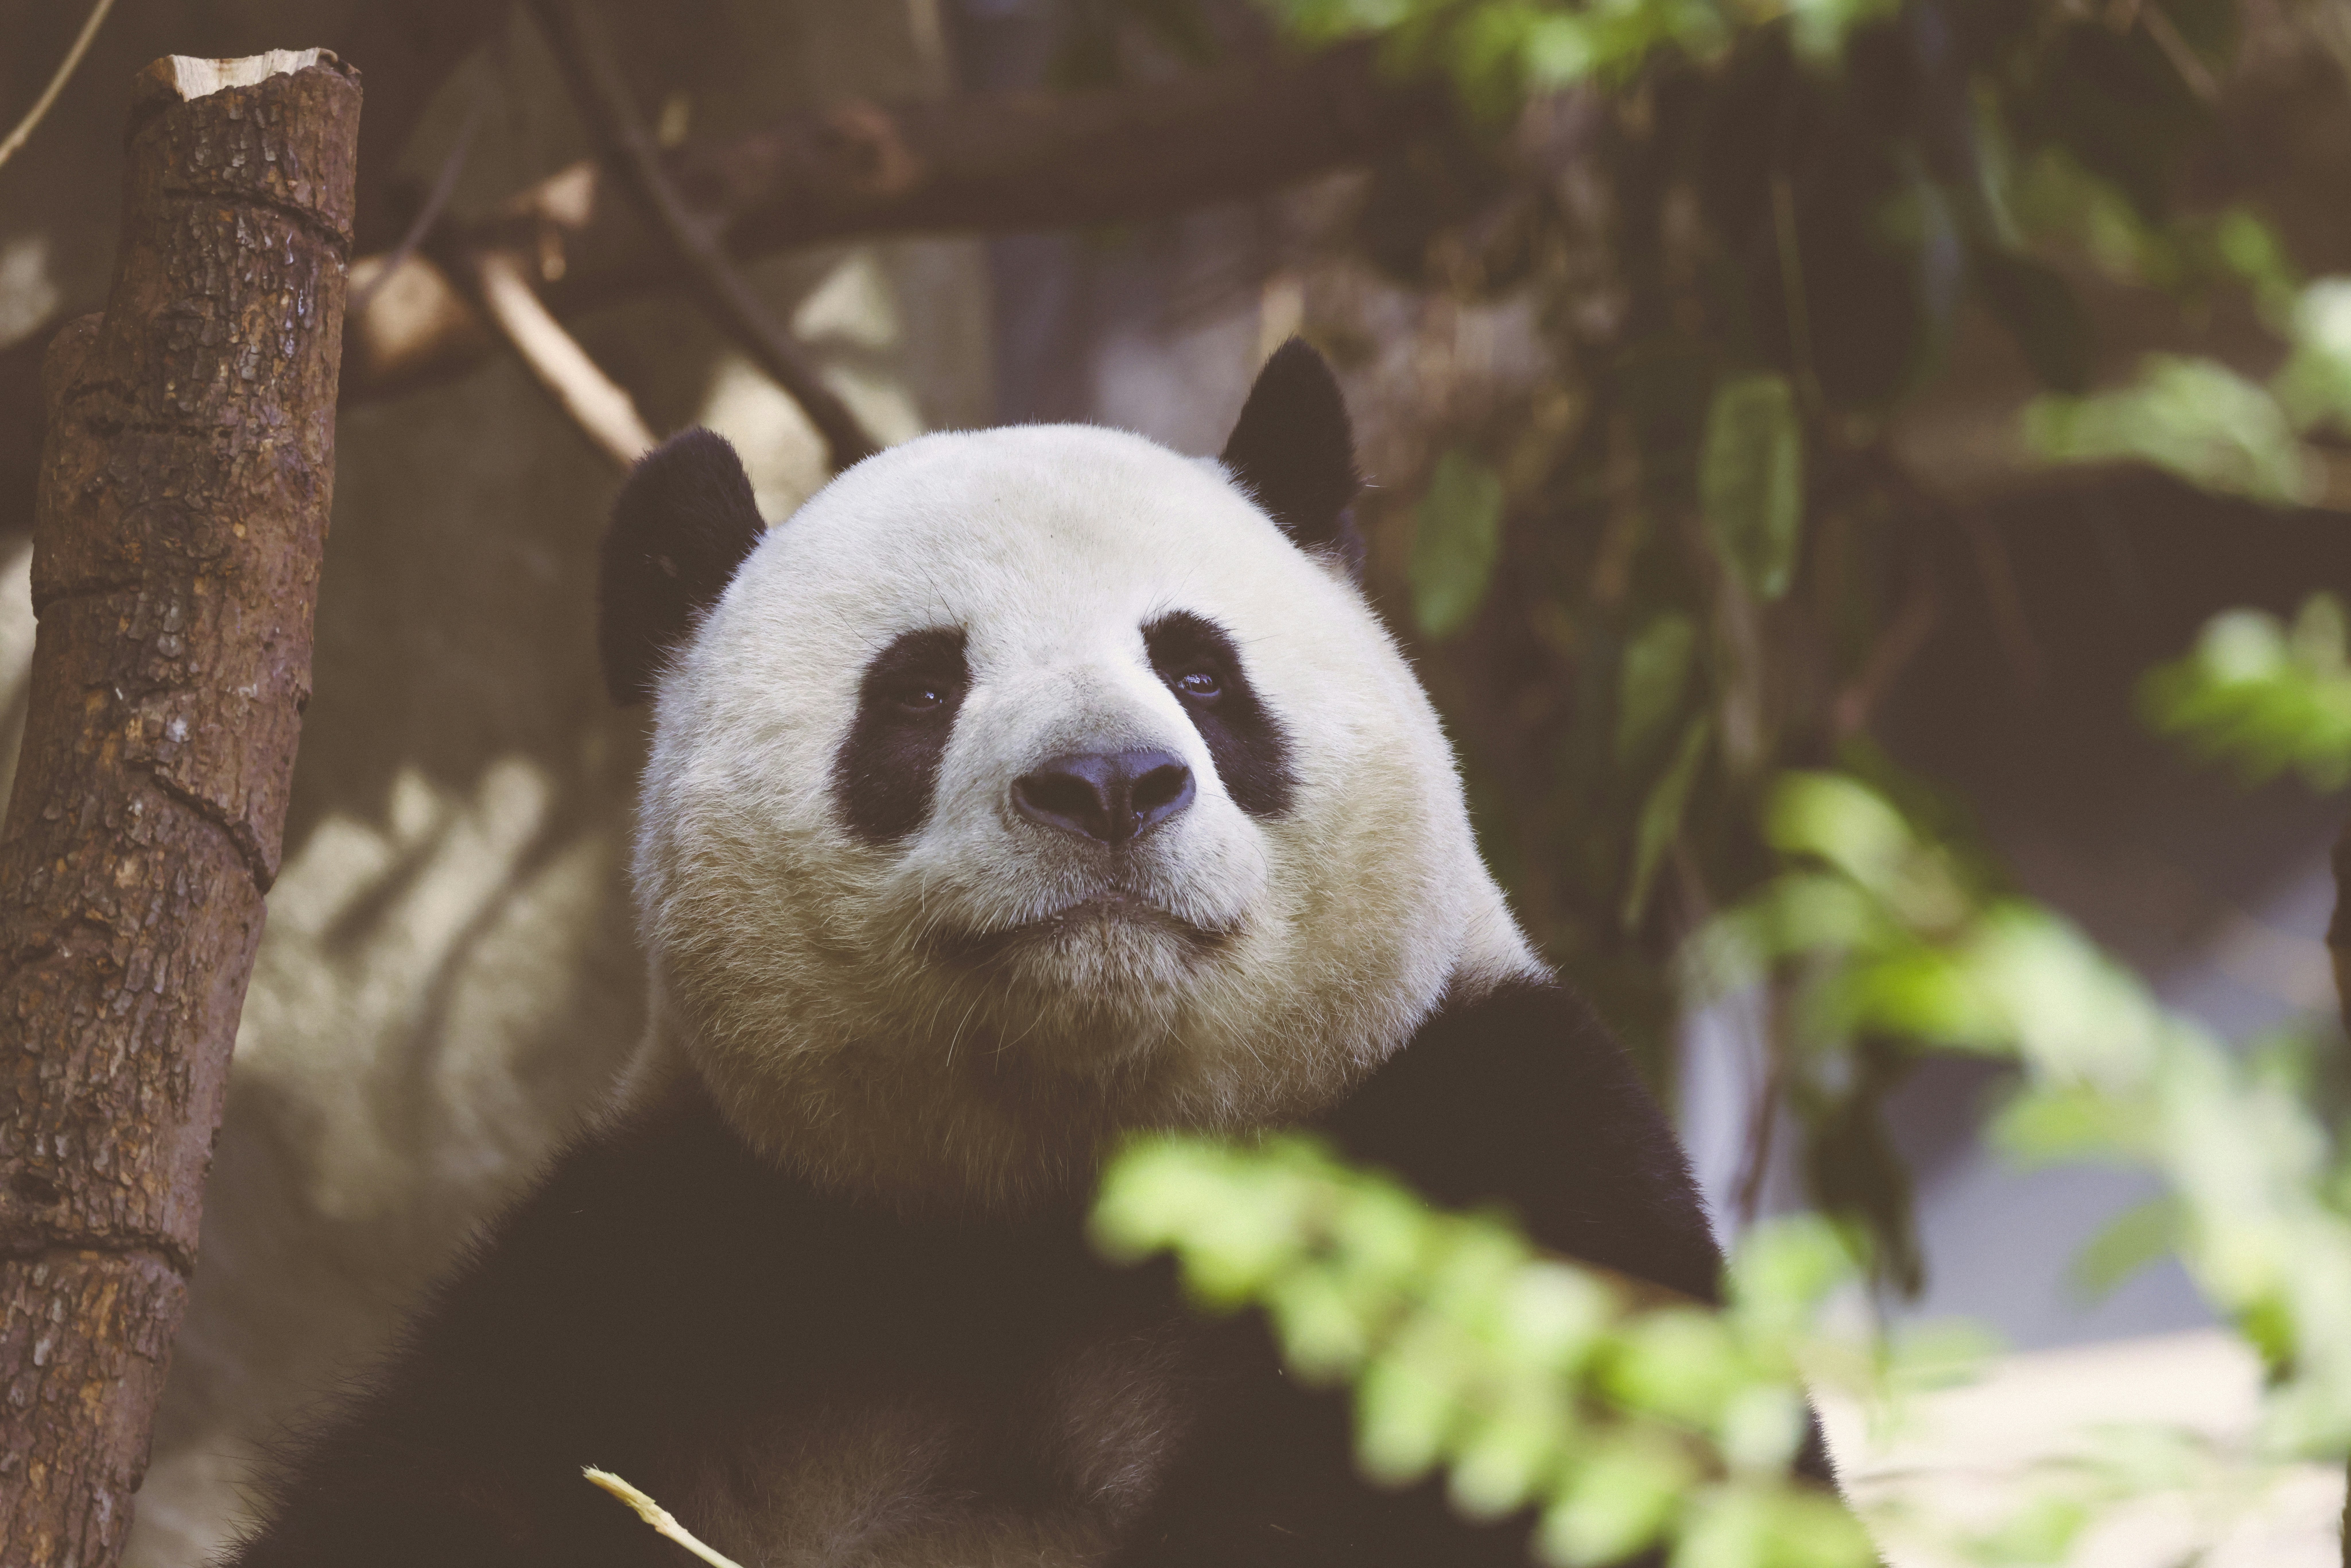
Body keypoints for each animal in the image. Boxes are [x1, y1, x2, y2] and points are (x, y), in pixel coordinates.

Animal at [221, 341, 1781, 1568]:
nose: (1107, 784)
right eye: (920, 689)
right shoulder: (671, 1252)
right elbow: (433, 1479)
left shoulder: (1502, 1144)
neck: (1067, 1192)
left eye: (1198, 670)